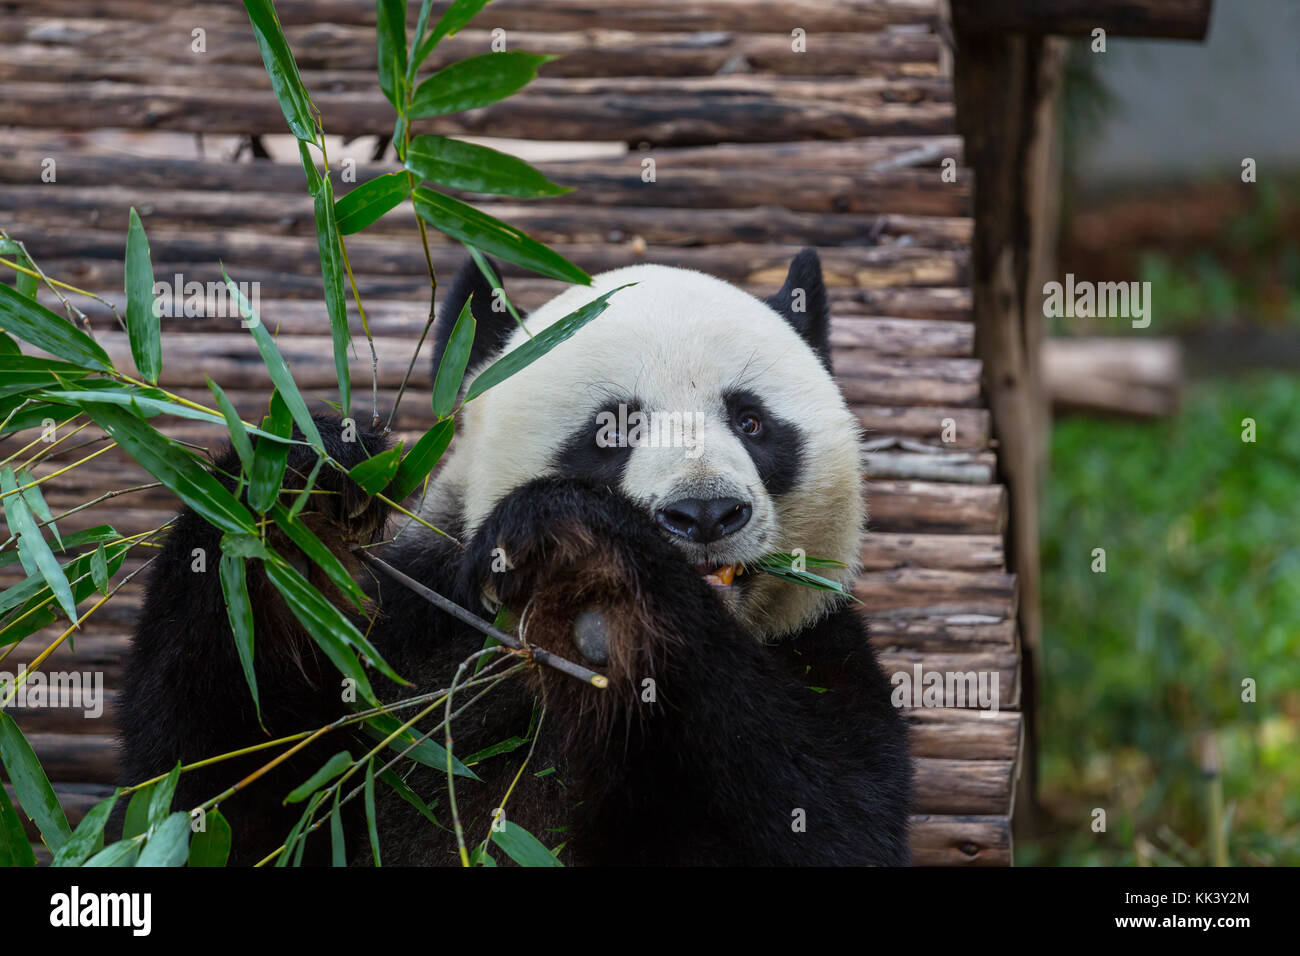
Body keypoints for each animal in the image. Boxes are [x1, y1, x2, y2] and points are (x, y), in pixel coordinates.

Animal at [116, 249, 913, 866]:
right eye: (613, 429)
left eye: (751, 421)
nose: (706, 512)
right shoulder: (405, 640)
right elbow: (213, 792)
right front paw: (296, 500)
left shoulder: (818, 653)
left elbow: (828, 818)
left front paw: (591, 558)